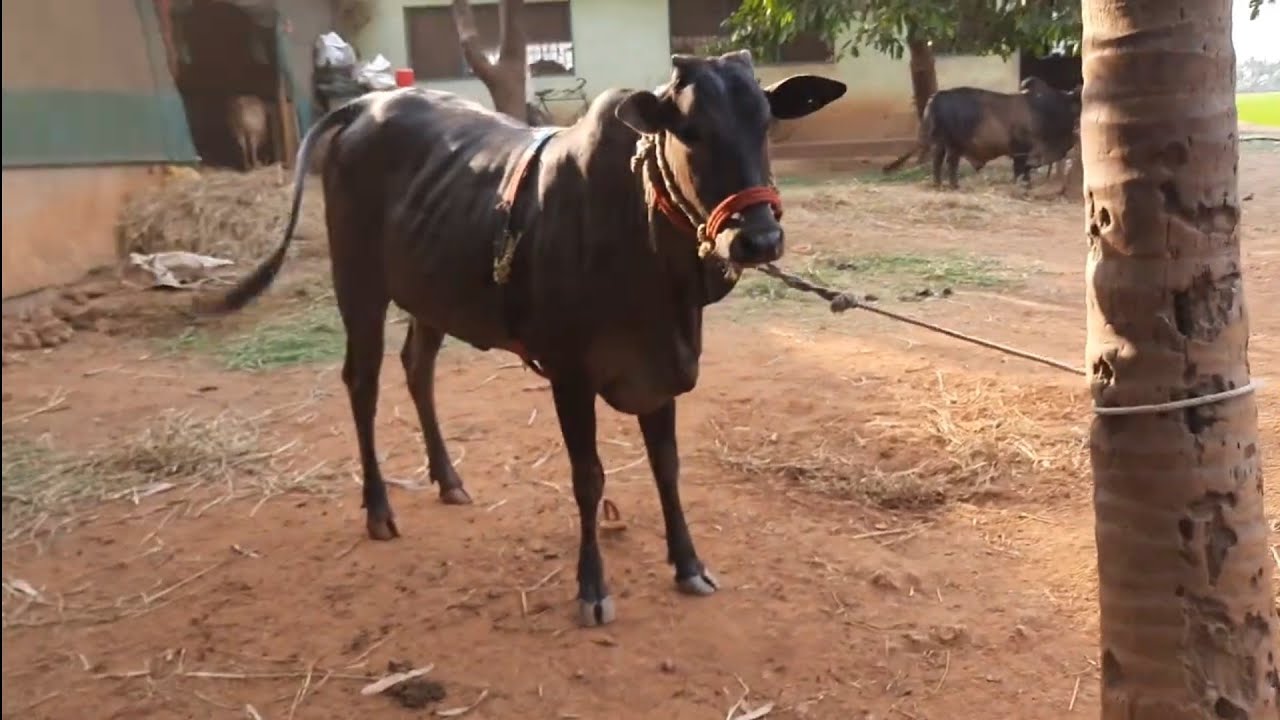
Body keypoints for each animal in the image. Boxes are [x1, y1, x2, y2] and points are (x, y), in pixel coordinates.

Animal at [206, 51, 846, 627]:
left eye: (765, 123)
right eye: (688, 131)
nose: (757, 240)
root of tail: (369, 104)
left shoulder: (659, 368)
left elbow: (667, 467)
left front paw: (689, 565)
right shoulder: (569, 372)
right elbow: (588, 478)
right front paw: (592, 589)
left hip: (431, 292)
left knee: (417, 368)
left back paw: (449, 480)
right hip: (357, 283)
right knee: (363, 383)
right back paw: (380, 510)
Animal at [883, 77, 1081, 189]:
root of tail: (937, 96)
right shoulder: (1021, 150)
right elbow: (1021, 169)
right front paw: (1022, 186)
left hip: (946, 143)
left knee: (943, 161)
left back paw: (945, 184)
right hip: (949, 142)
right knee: (945, 161)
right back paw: (947, 185)